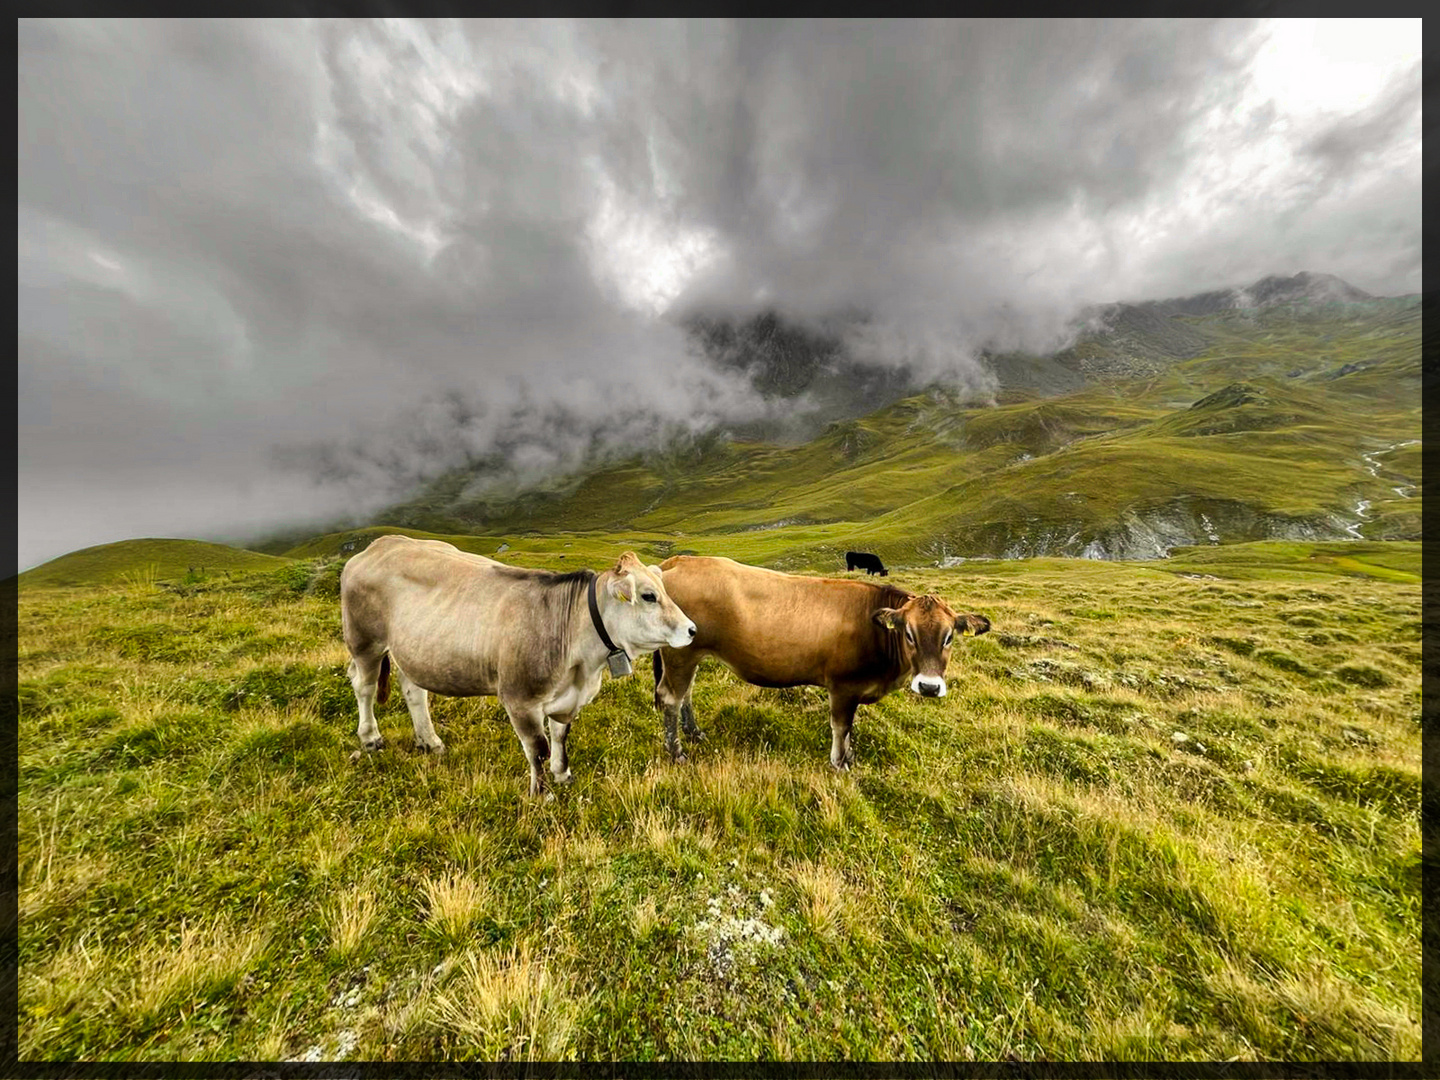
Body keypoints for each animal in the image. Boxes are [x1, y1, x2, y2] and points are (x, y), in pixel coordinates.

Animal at [339, 538, 694, 800]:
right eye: (648, 596)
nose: (692, 629)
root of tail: (377, 546)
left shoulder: (568, 698)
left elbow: (560, 736)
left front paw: (563, 774)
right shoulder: (520, 698)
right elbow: (537, 748)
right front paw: (542, 793)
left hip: (414, 650)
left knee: (413, 690)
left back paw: (430, 741)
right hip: (365, 641)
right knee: (363, 686)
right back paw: (370, 738)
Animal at [653, 558, 990, 771]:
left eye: (949, 637)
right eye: (909, 633)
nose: (929, 687)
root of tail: (678, 561)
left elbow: (851, 728)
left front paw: (850, 756)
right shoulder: (843, 686)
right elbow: (841, 726)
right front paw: (839, 763)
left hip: (692, 654)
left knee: (686, 694)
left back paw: (694, 733)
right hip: (681, 654)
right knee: (671, 697)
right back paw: (677, 751)